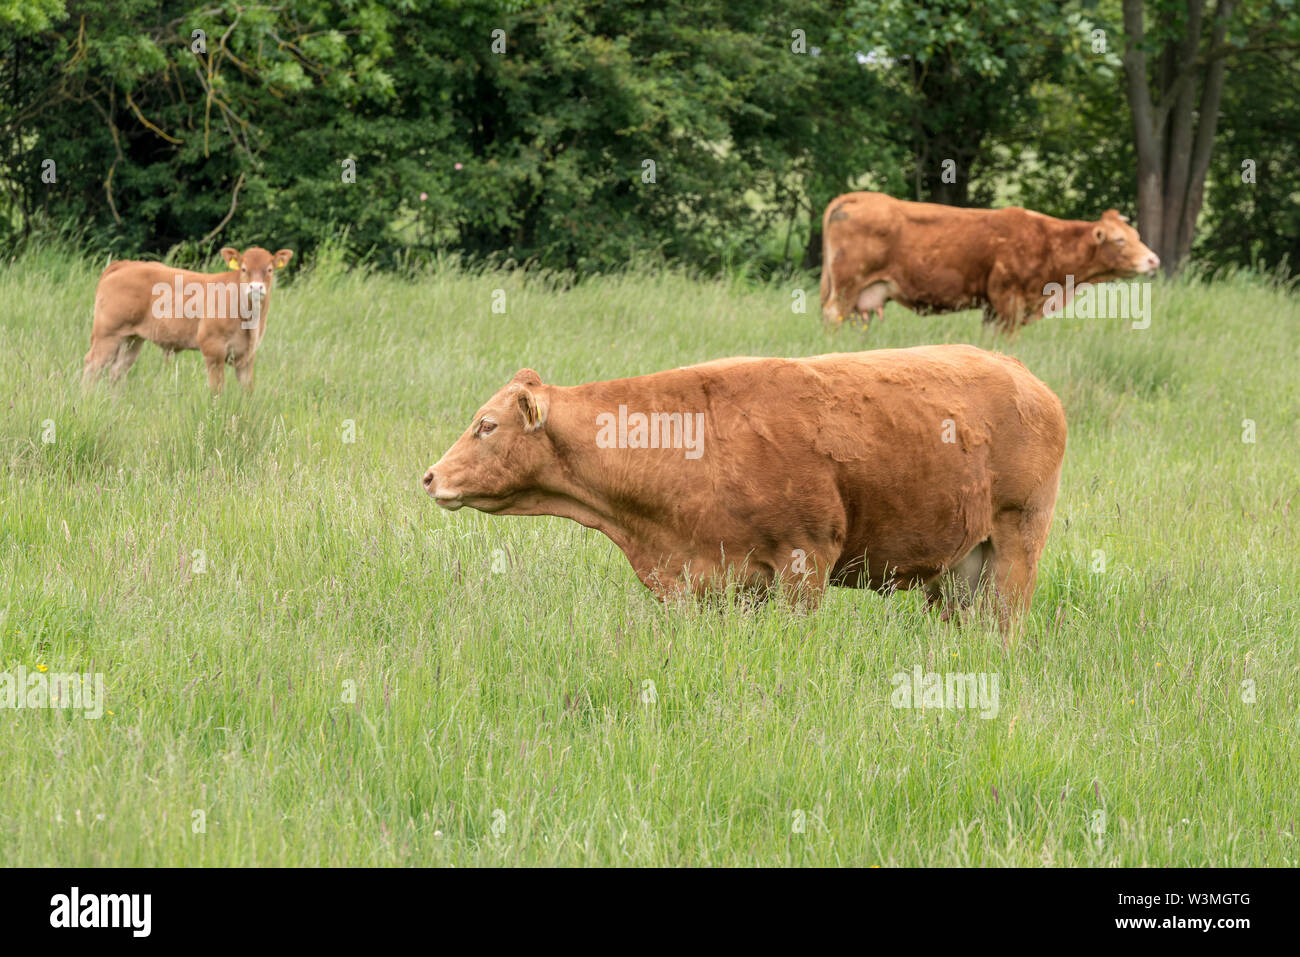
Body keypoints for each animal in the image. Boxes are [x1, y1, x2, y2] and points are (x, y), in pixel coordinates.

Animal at [83, 246, 293, 394]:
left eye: (270, 269)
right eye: (243, 269)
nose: (256, 287)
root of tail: (125, 264)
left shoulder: (247, 355)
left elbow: (247, 390)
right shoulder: (213, 349)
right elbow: (217, 390)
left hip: (131, 339)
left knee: (117, 370)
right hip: (107, 335)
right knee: (92, 367)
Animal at [422, 345, 1067, 639]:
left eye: (487, 425)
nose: (429, 476)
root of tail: (1022, 374)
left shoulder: (806, 561)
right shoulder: (714, 579)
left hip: (1017, 543)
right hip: (956, 572)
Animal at [819, 192, 1160, 332]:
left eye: (1136, 234)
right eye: (1120, 239)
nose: (1153, 259)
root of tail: (860, 196)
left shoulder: (992, 308)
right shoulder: (1008, 300)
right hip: (847, 284)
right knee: (833, 315)